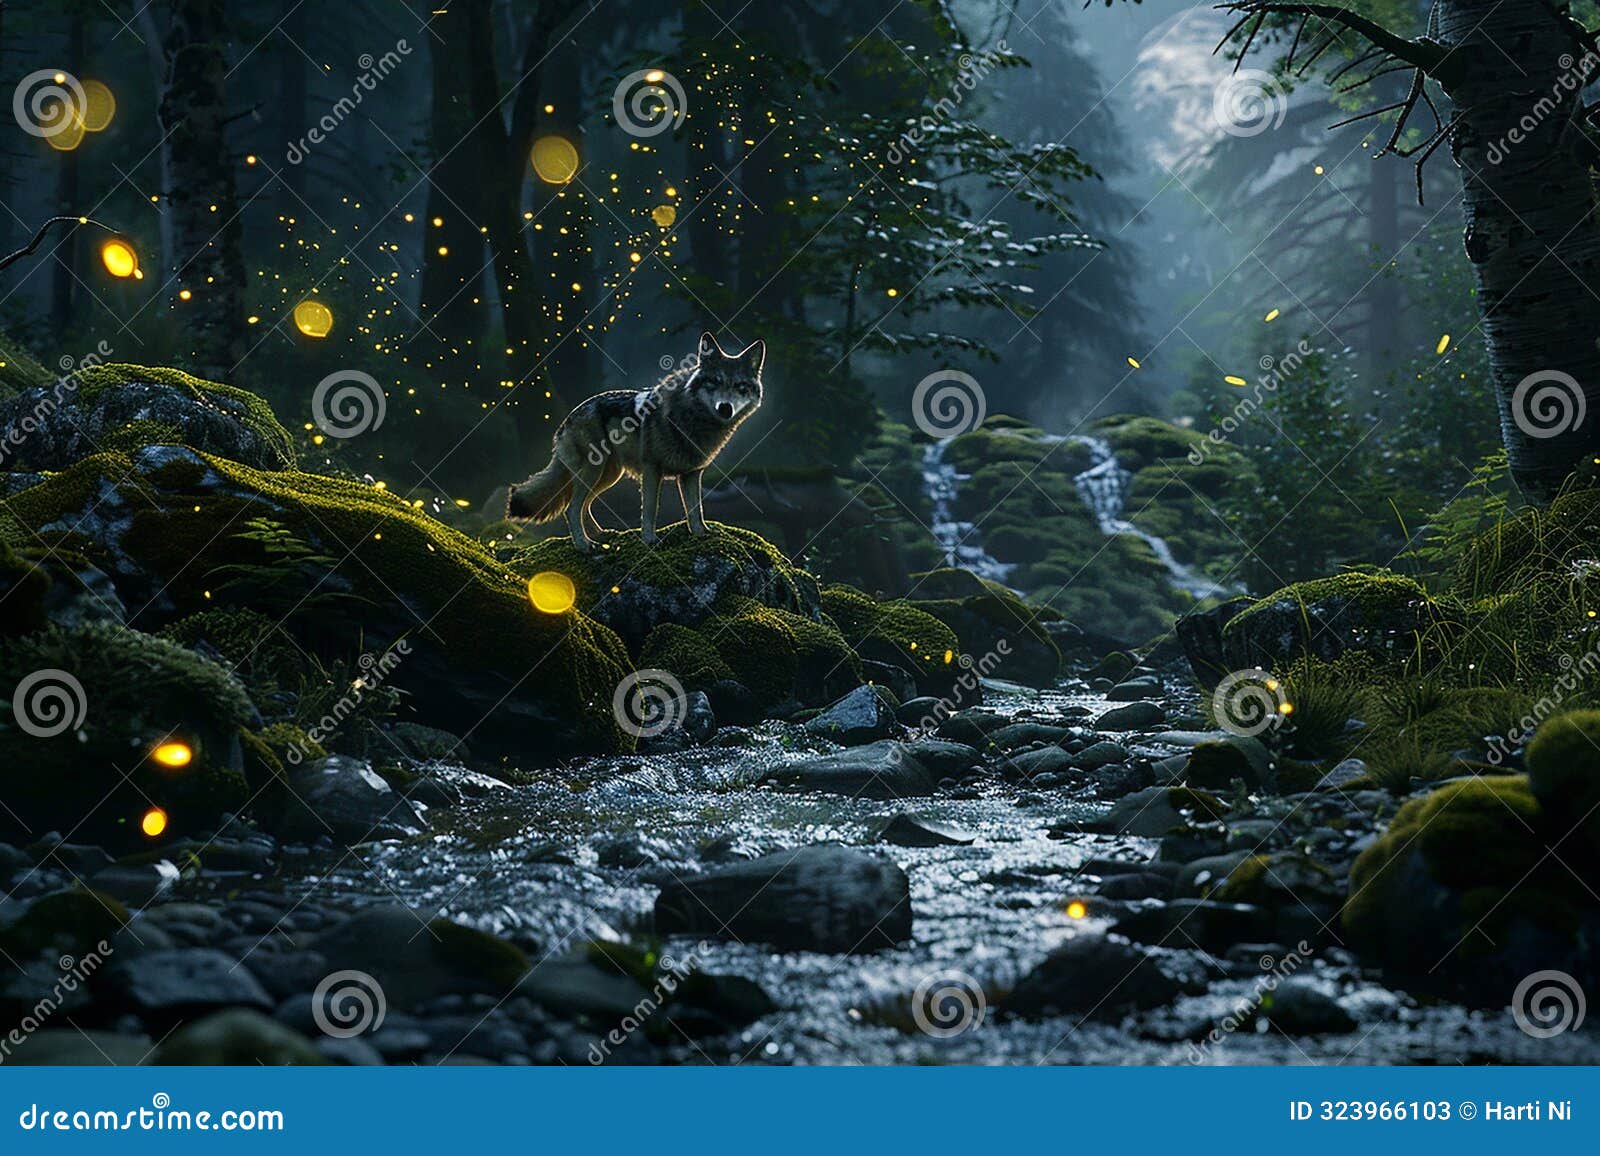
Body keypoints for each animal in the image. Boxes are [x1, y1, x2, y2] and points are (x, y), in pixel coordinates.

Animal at [506, 332, 765, 552]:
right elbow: (650, 510)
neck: (692, 419)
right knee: (571, 509)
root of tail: (566, 421)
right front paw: (650, 540)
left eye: (740, 387)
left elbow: (695, 511)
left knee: (584, 506)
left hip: (608, 476)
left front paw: (702, 535)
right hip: (594, 472)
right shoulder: (652, 470)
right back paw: (584, 545)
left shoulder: (692, 474)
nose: (725, 408)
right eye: (715, 382)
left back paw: (601, 535)